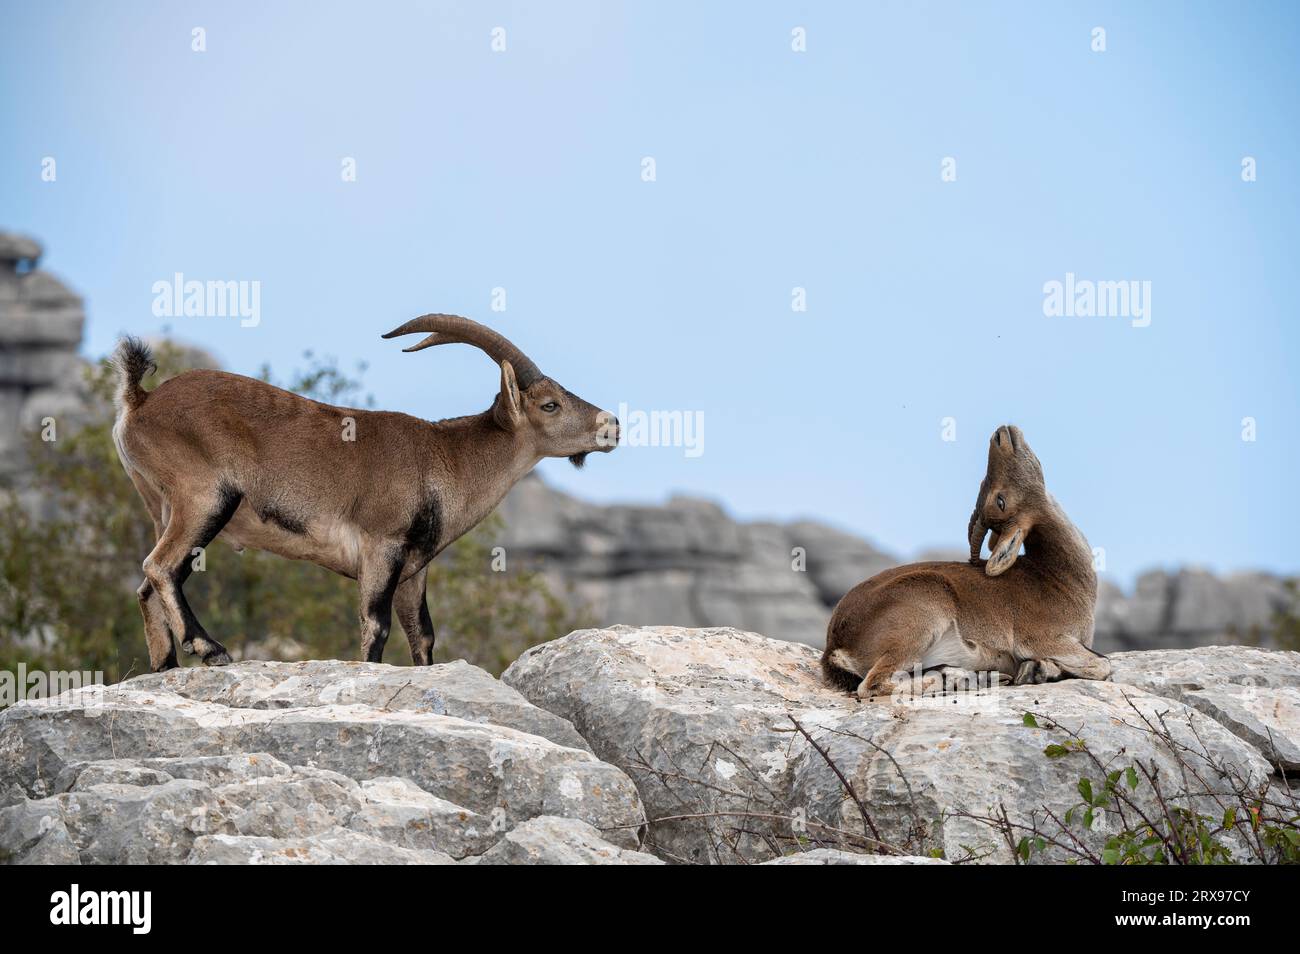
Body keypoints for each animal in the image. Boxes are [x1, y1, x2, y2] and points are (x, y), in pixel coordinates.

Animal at [110, 314, 618, 672]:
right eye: (550, 405)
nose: (611, 424)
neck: (446, 457)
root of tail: (139, 401)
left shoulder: (413, 569)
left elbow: (423, 635)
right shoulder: (381, 546)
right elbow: (376, 625)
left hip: (161, 506)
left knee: (146, 585)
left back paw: (164, 667)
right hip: (204, 499)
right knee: (160, 567)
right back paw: (211, 649)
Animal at [821, 424, 1110, 699]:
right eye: (1000, 500)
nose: (1000, 435)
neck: (1058, 579)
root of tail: (835, 646)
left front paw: (1037, 670)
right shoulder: (1041, 638)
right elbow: (1103, 664)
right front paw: (1033, 670)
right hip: (923, 613)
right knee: (873, 684)